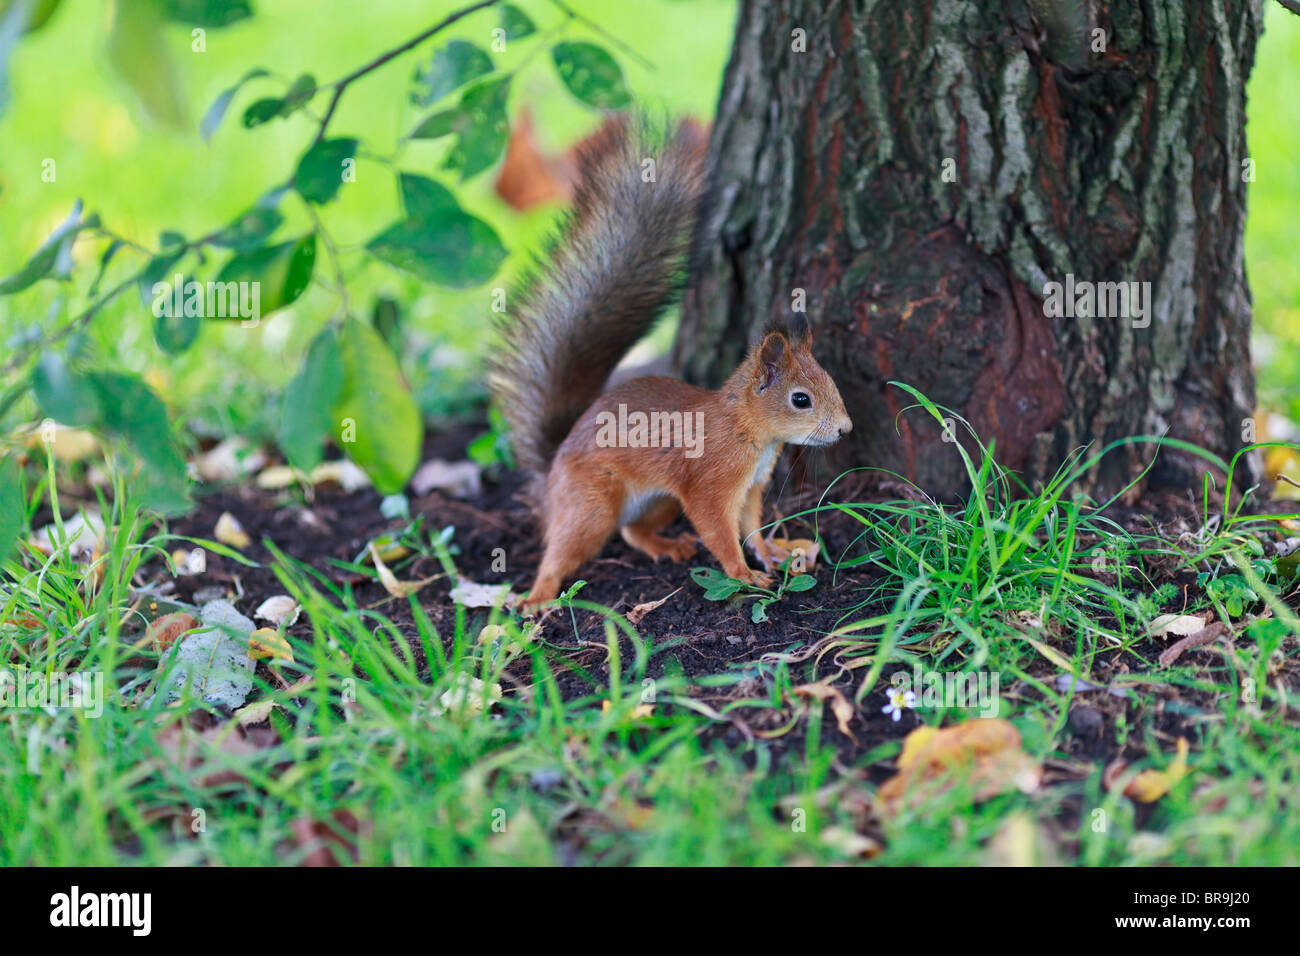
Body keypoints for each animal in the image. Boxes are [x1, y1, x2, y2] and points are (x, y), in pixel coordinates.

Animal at [490, 116, 852, 611]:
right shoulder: (710, 484)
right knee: (563, 549)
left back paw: (666, 546)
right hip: (590, 505)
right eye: (801, 399)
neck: (746, 430)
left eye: (830, 382)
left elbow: (751, 525)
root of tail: (552, 469)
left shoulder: (752, 487)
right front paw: (742, 573)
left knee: (631, 531)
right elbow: (719, 530)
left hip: (658, 500)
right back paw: (538, 595)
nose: (845, 429)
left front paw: (771, 551)